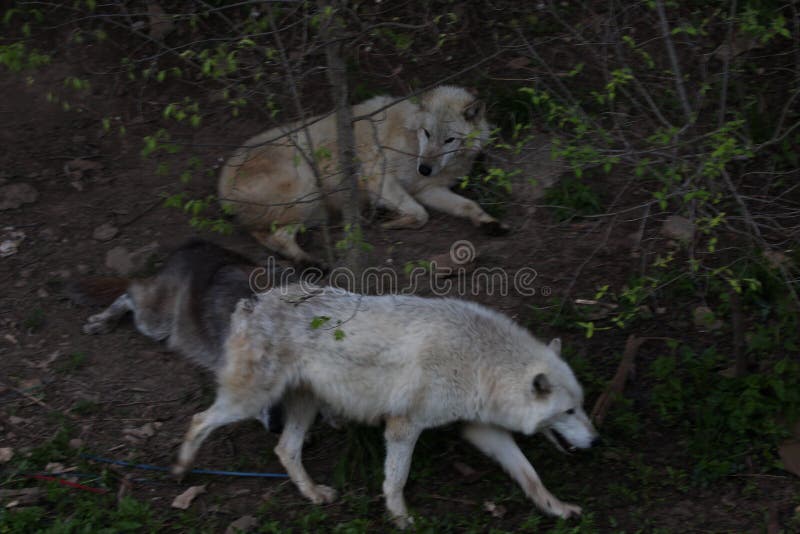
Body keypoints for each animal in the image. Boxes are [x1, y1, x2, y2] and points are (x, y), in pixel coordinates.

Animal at [70, 239, 290, 433]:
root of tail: (193, 244)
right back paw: (105, 319)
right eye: (266, 385)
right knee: (131, 292)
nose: (277, 428)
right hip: (156, 321)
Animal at [172, 285, 599, 528]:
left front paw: (558, 509)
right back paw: (181, 469)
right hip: (251, 401)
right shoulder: (403, 426)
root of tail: (251, 302)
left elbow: (530, 476)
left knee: (285, 449)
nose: (596, 440)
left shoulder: (479, 428)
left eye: (581, 406)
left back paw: (314, 495)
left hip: (305, 404)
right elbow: (395, 480)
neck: (480, 362)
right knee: (198, 419)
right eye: (568, 412)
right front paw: (401, 519)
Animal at [218, 85, 509, 266]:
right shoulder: (378, 176)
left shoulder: (427, 189)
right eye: (426, 133)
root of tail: (222, 185)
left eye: (449, 140)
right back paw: (310, 262)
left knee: (263, 234)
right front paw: (391, 221)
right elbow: (420, 214)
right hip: (308, 187)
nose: (424, 169)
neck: (410, 140)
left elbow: (468, 205)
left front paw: (489, 222)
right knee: (276, 236)